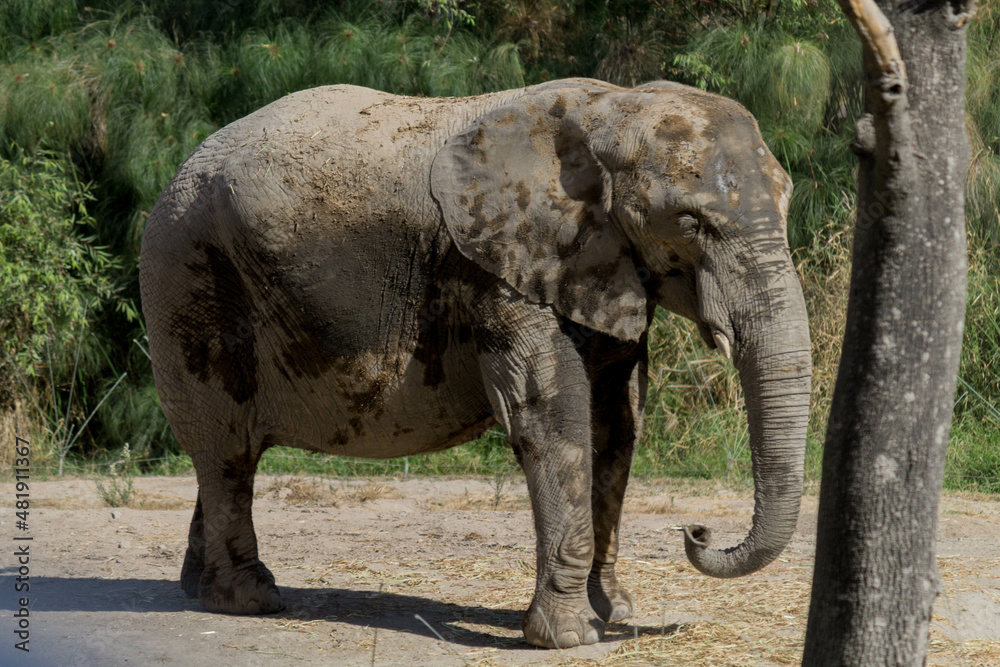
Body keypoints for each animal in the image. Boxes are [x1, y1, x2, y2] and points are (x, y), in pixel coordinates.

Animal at [139, 77, 812, 649]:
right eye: (691, 223)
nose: (697, 532)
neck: (613, 109)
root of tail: (175, 174)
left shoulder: (599, 264)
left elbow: (619, 423)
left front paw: (615, 612)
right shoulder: (500, 265)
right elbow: (550, 417)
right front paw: (572, 638)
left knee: (227, 453)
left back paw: (197, 589)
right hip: (191, 277)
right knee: (226, 446)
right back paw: (249, 599)